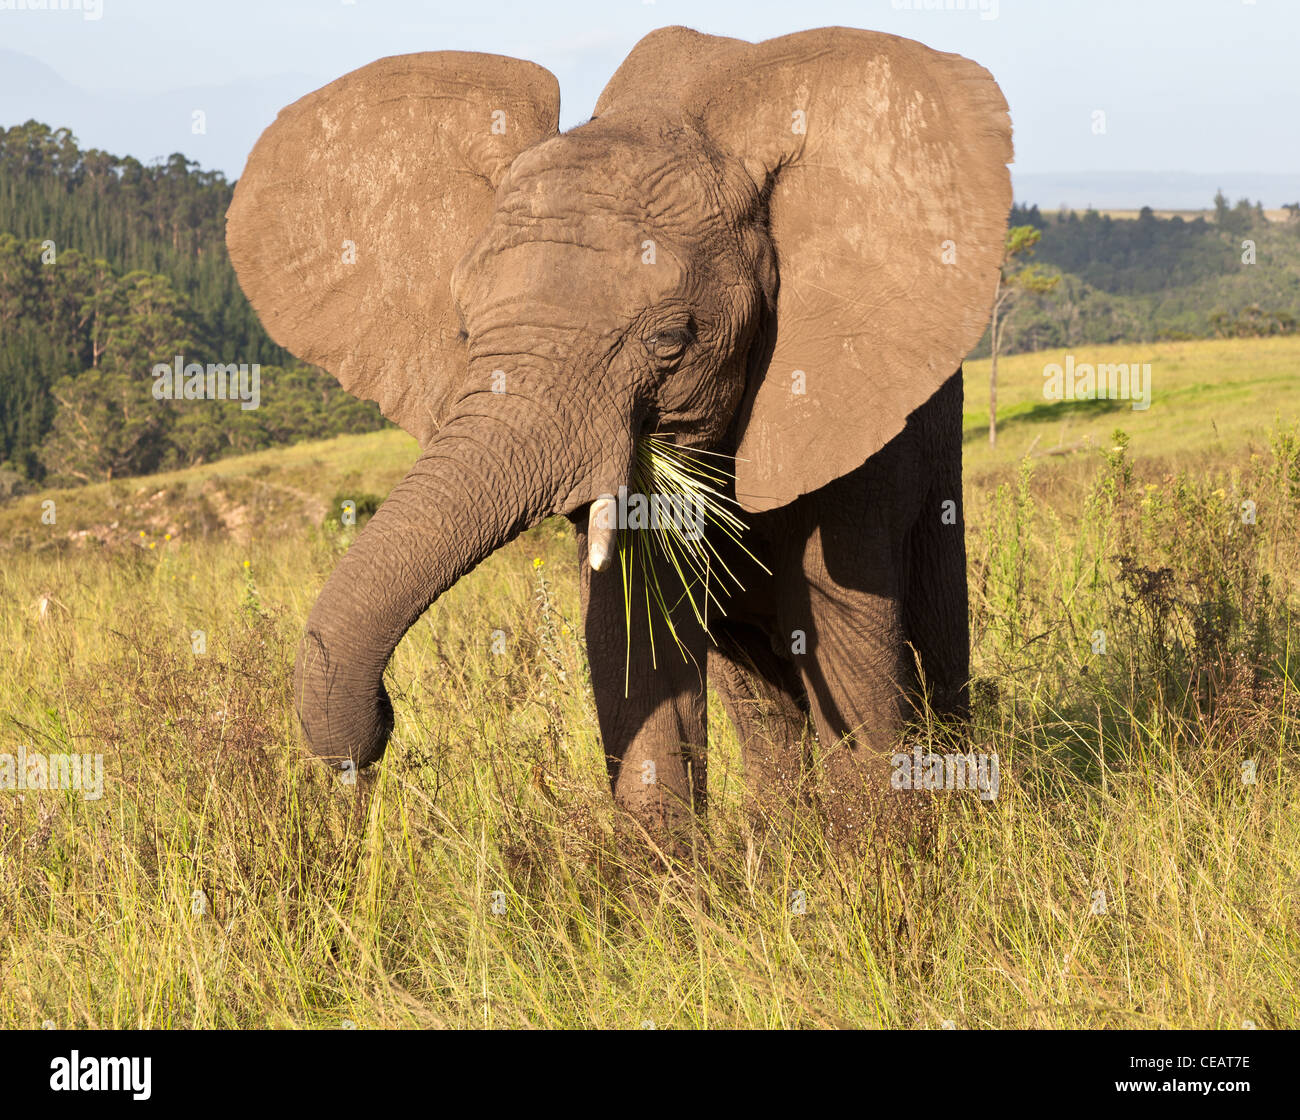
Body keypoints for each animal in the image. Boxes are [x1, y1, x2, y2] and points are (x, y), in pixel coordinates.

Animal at [225, 25, 1012, 848]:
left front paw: (880, 857)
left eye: (671, 341)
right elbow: (634, 634)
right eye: (465, 333)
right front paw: (674, 875)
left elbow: (843, 633)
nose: (379, 727)